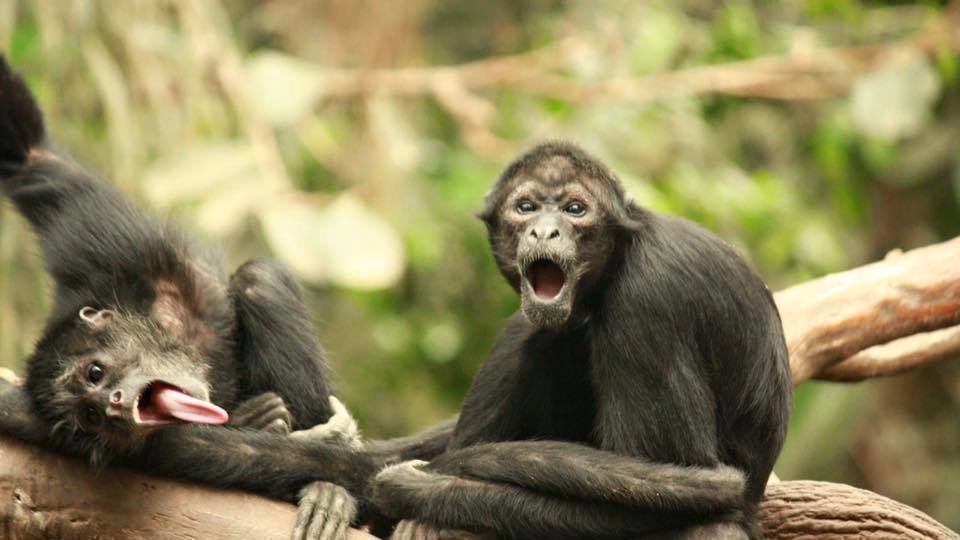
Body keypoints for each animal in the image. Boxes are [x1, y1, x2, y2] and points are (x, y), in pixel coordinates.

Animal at [0, 56, 367, 539]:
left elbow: (27, 151)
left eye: (95, 373)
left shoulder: (102, 233)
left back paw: (327, 489)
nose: (112, 404)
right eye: (90, 417)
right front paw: (258, 419)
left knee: (260, 282)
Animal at [368, 142, 793, 539]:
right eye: (525, 207)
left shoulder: (649, 297)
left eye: (574, 209)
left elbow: (671, 500)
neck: (624, 254)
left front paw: (420, 489)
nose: (543, 230)